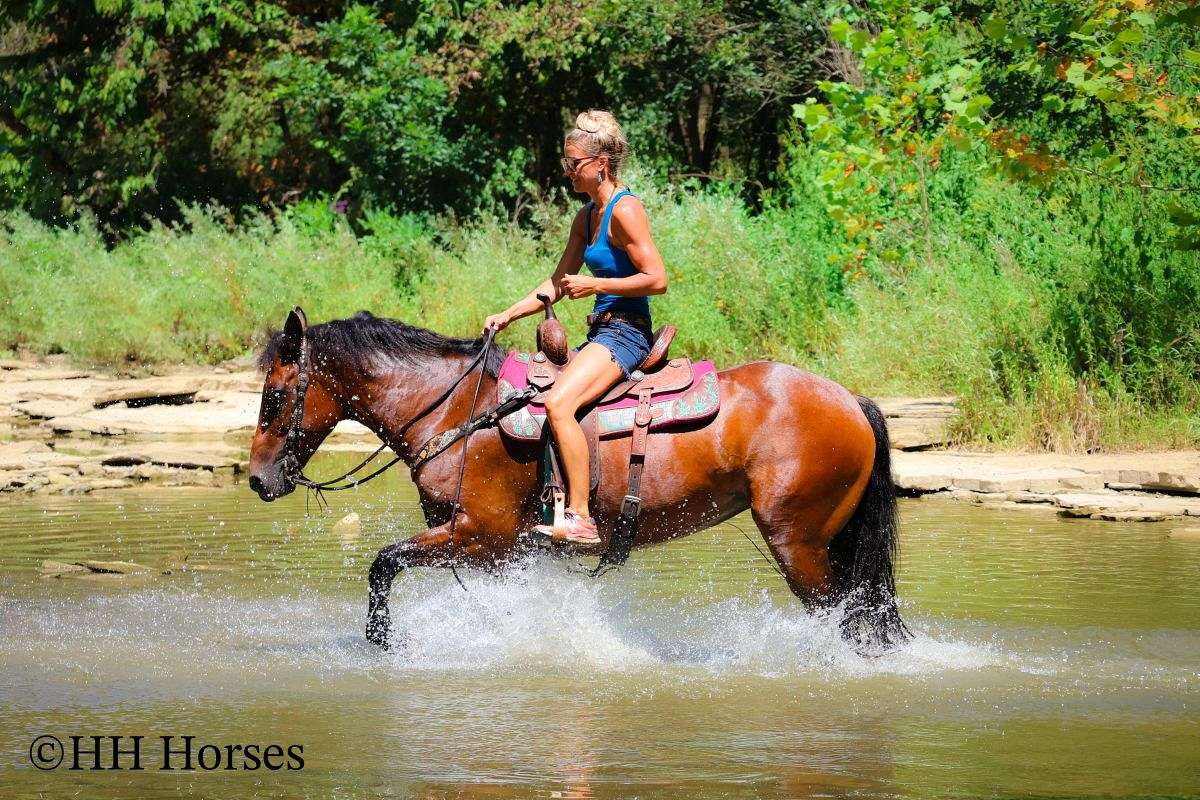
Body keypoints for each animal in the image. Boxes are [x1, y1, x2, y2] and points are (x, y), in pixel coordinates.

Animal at [248, 308, 910, 654]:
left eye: (275, 397)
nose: (257, 480)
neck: (458, 409)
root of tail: (851, 402)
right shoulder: (498, 552)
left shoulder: (482, 536)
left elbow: (382, 563)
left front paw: (382, 642)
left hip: (799, 544)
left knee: (849, 619)